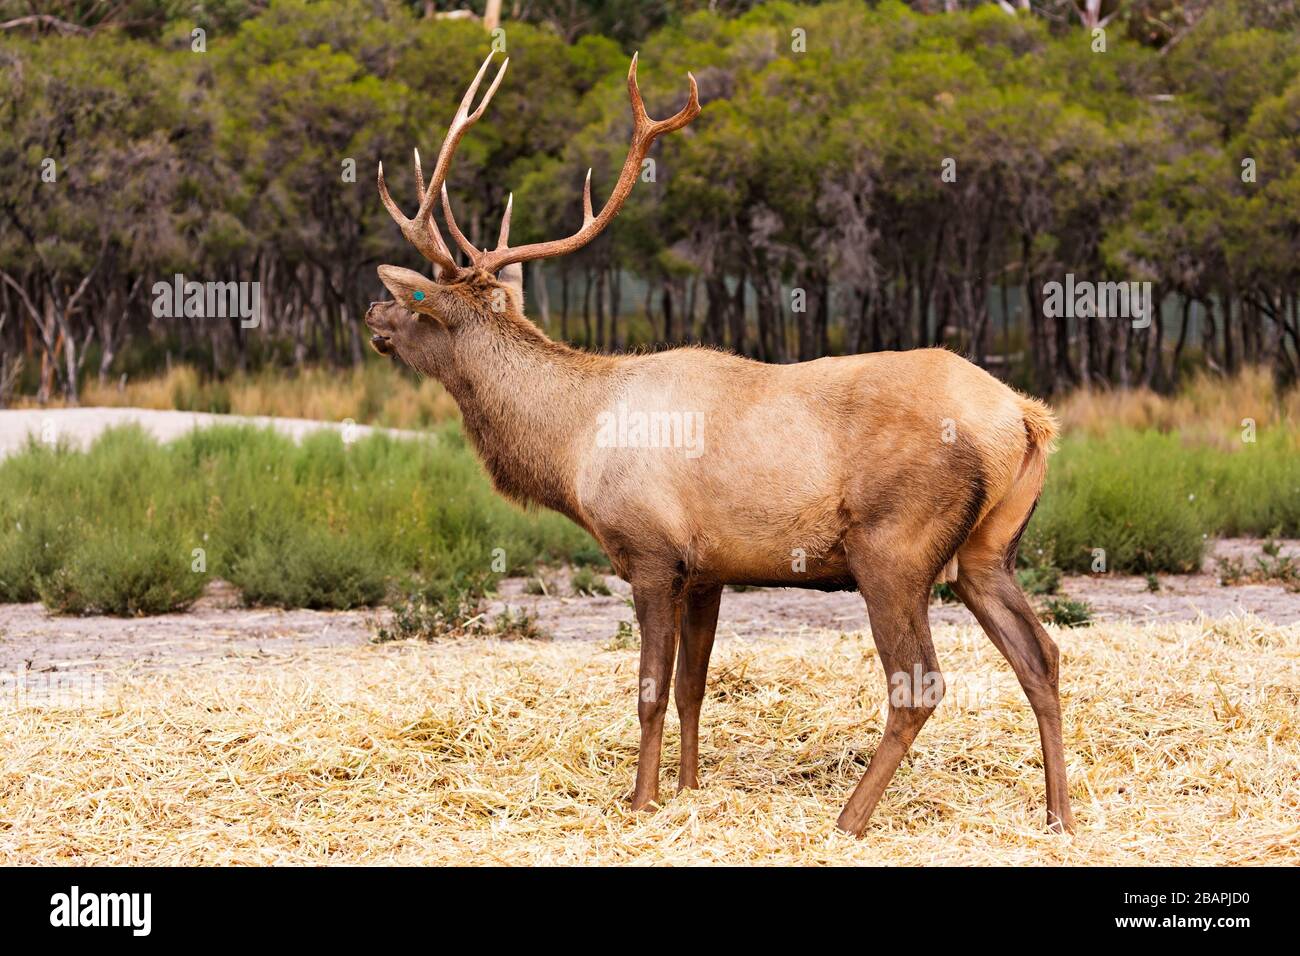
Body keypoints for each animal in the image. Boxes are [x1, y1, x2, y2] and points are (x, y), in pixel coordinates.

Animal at [365, 52, 1074, 836]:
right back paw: (1059, 818)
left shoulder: (650, 553)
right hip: (988, 551)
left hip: (893, 547)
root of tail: (1025, 417)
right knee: (1042, 657)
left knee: (918, 683)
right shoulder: (706, 569)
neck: (573, 450)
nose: (371, 309)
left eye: (417, 300)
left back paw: (848, 820)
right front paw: (687, 790)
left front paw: (640, 801)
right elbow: (692, 688)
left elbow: (649, 688)